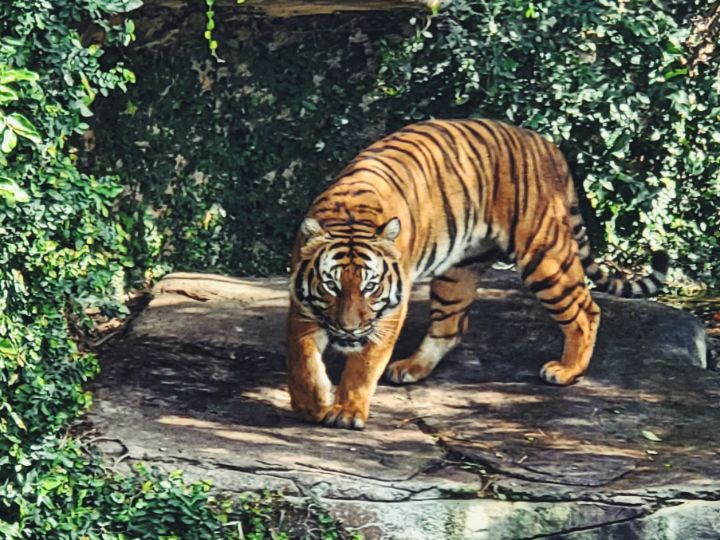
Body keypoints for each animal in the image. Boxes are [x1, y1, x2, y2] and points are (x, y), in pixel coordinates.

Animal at [287, 119, 668, 430]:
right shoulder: (303, 305)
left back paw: (566, 370)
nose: (350, 329)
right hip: (459, 270)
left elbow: (364, 364)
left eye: (370, 287)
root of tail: (548, 145)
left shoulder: (390, 311)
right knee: (451, 326)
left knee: (586, 311)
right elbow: (303, 360)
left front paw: (347, 411)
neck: (350, 215)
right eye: (331, 285)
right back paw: (411, 367)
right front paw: (312, 404)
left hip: (545, 257)